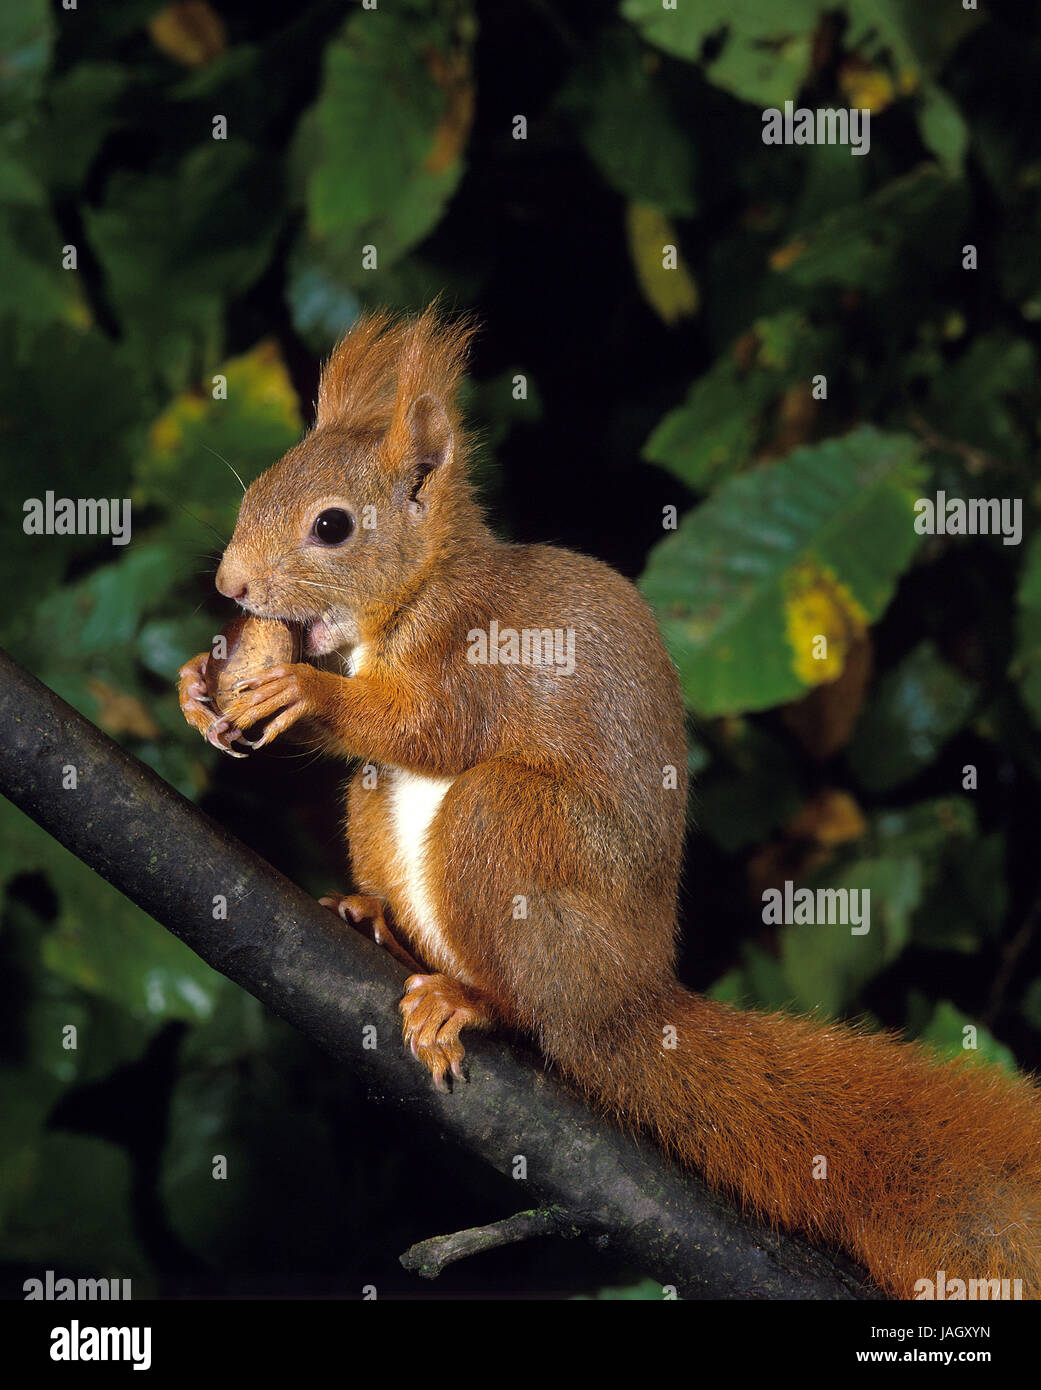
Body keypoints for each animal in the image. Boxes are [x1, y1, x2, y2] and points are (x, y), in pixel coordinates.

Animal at [178, 304, 1041, 1300]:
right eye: (257, 489)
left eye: (332, 526)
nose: (231, 587)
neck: (419, 591)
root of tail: (630, 1000)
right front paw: (195, 685)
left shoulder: (478, 655)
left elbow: (429, 730)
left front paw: (305, 693)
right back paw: (377, 920)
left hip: (519, 836)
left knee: (525, 972)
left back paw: (471, 1000)